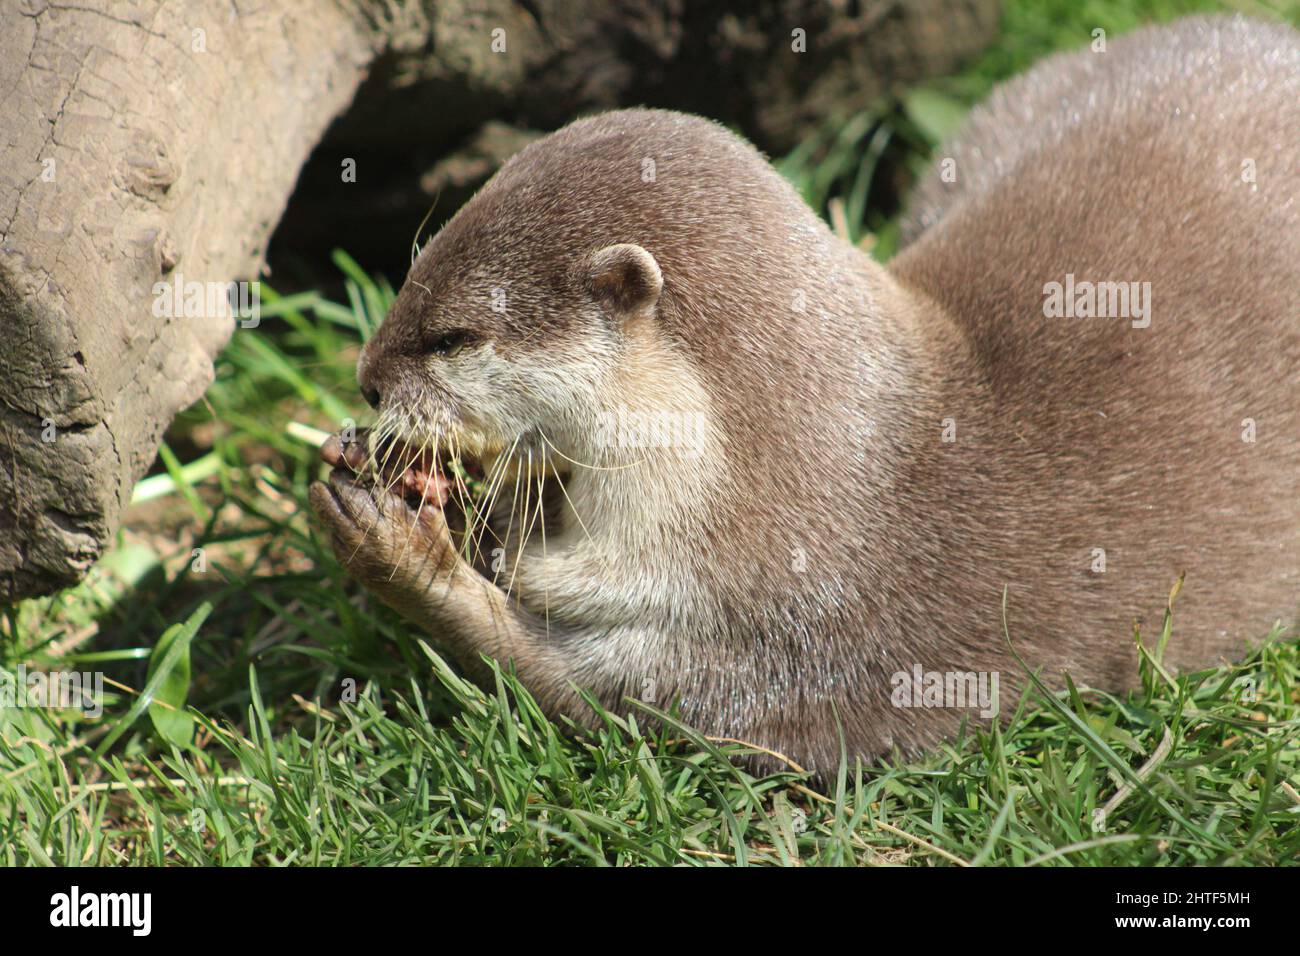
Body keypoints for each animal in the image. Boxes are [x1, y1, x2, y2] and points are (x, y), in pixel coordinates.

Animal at [310, 15, 1300, 771]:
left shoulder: (778, 642)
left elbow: (582, 700)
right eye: (413, 269)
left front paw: (402, 547)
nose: (366, 378)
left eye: (453, 337)